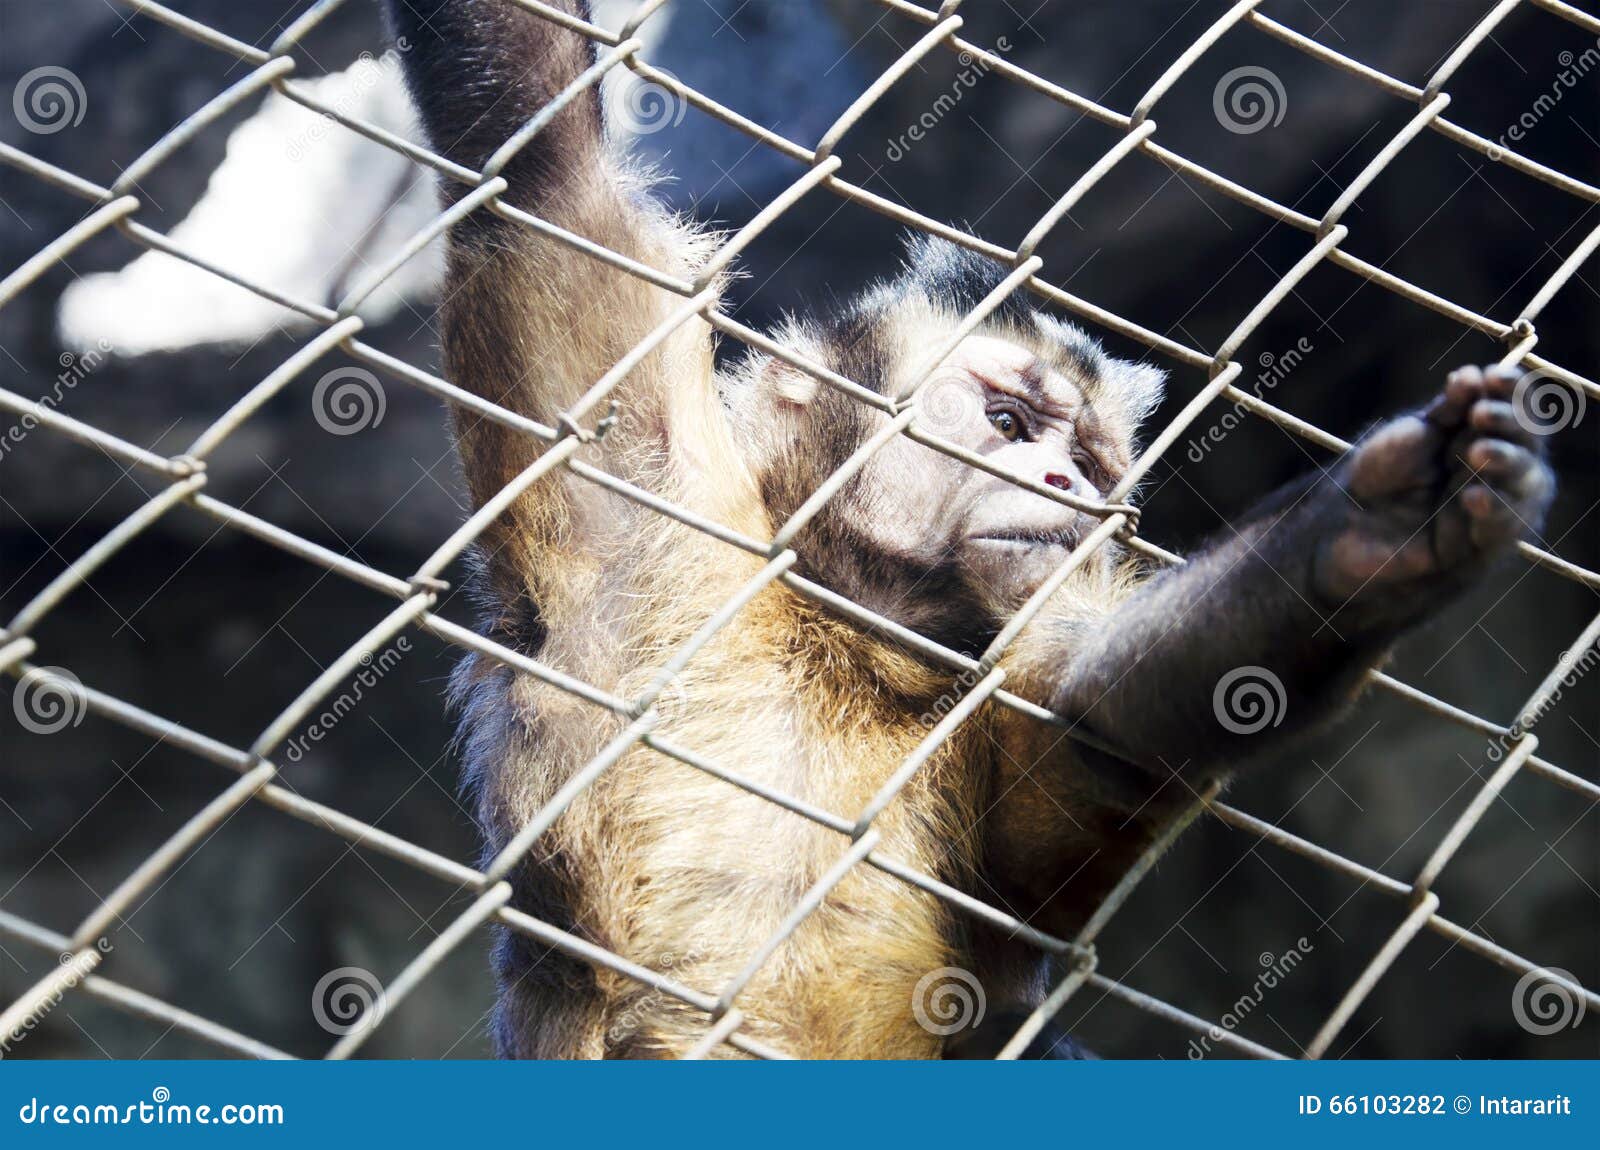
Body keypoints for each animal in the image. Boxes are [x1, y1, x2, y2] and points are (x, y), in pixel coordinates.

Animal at [385, 0, 1557, 1058]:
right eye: (1006, 425)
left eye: (1089, 466)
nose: (1060, 481)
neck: (843, 628)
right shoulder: (640, 487)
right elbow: (540, 168)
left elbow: (1099, 716)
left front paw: (1366, 538)